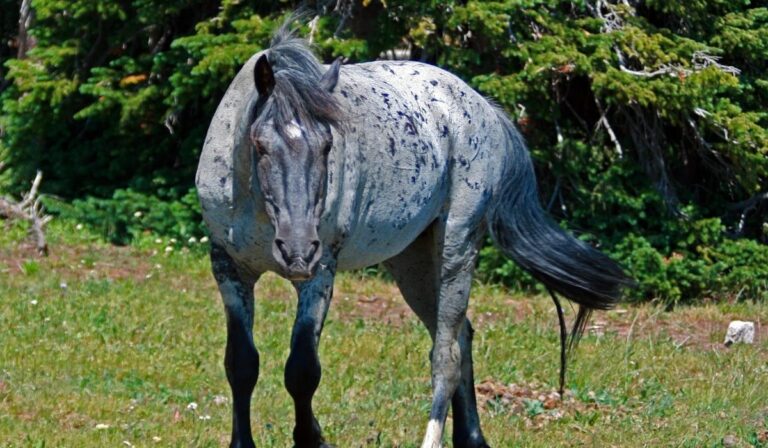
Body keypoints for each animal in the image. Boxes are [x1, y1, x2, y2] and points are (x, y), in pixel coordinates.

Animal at [196, 22, 630, 448]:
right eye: (259, 144)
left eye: (327, 144)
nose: (298, 251)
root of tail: (481, 107)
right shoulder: (229, 268)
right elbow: (241, 364)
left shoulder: (319, 274)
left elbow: (302, 370)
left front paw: (310, 439)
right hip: (412, 264)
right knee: (462, 339)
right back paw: (471, 438)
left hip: (455, 249)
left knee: (446, 357)